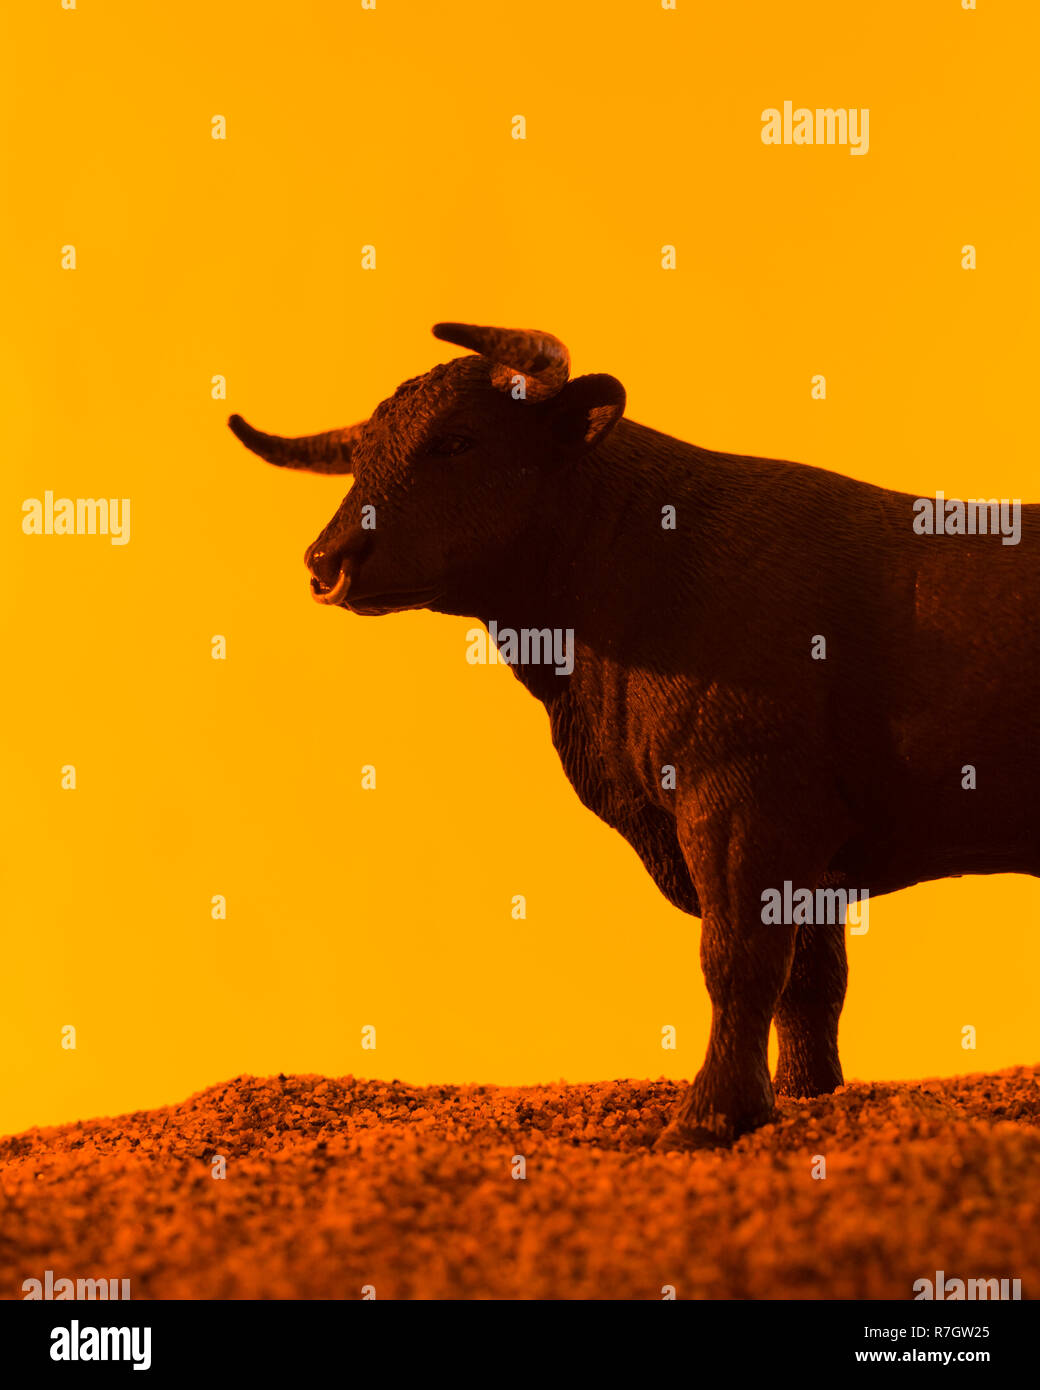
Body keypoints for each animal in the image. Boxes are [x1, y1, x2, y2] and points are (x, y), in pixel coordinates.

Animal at [229, 322, 1040, 1149]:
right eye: (362, 456)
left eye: (457, 440)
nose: (325, 563)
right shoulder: (810, 855)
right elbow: (811, 983)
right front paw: (807, 1096)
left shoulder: (746, 810)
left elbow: (740, 963)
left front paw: (708, 1117)